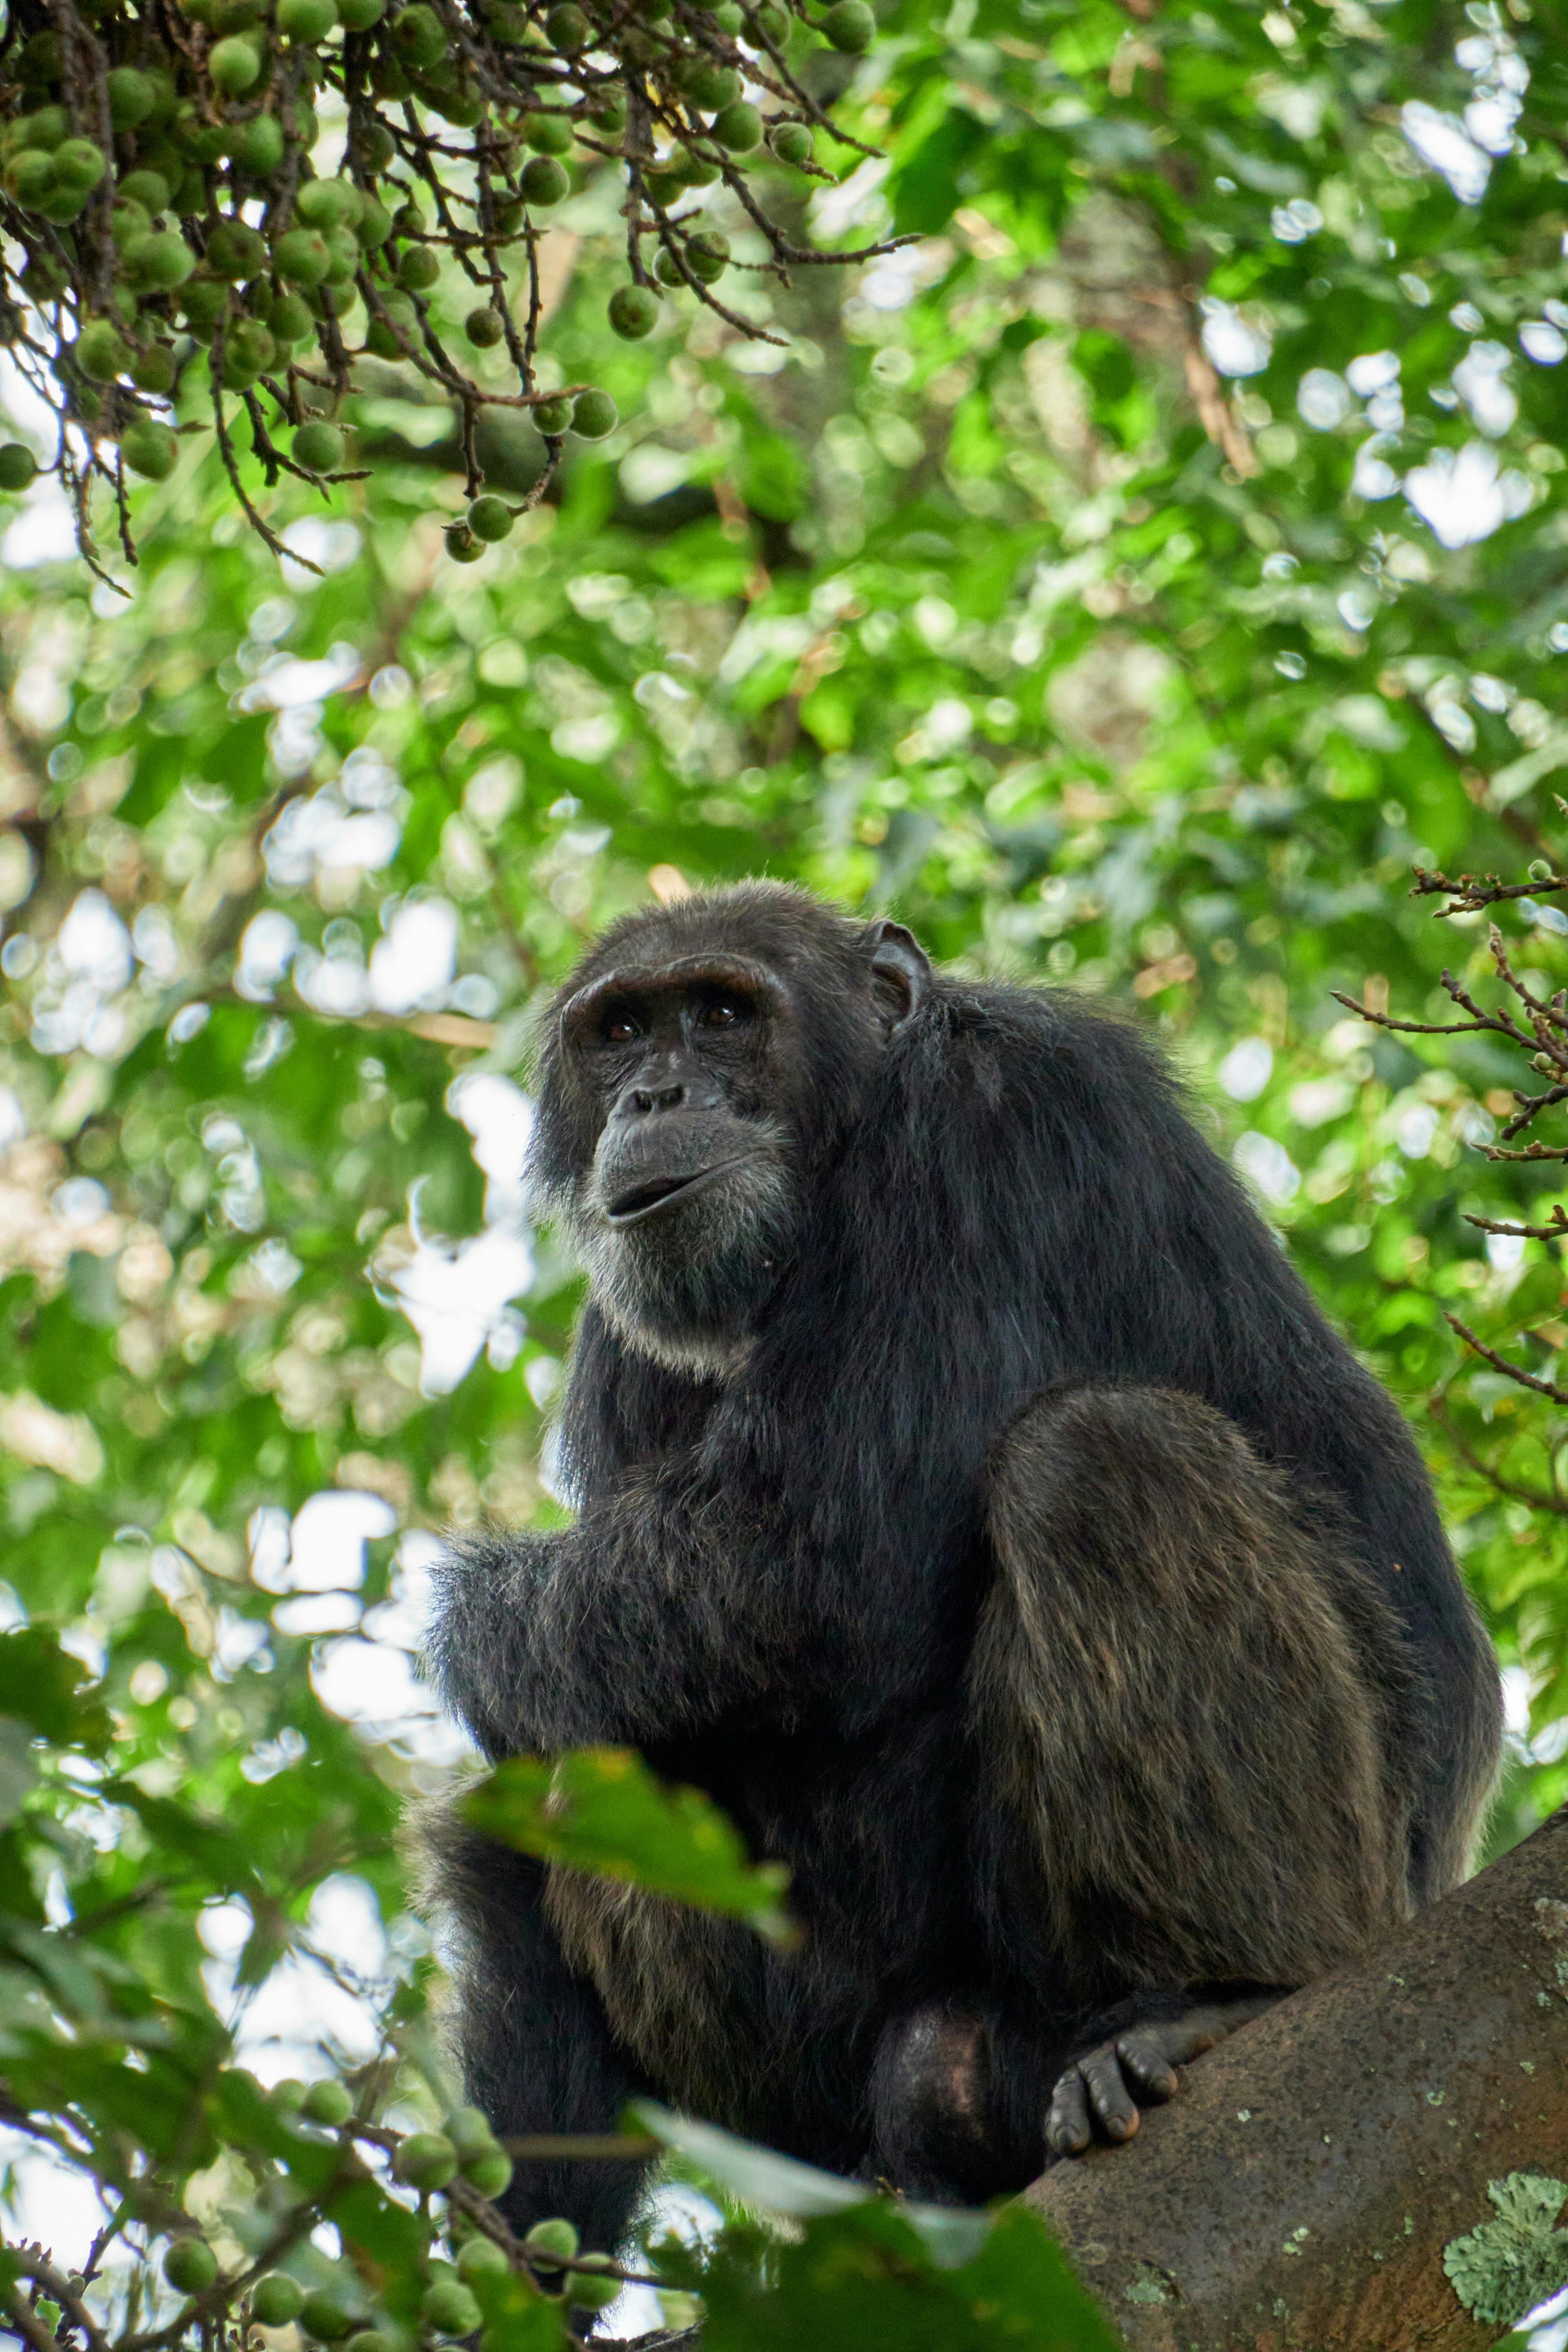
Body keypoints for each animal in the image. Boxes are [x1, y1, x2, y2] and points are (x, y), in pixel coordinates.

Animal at [421, 881, 1501, 2242]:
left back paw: (1215, 1998)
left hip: (1342, 1910)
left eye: (720, 1013)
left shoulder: (986, 1127)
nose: (654, 1096)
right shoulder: (623, 1344)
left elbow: (810, 1567)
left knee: (1098, 1457)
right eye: (619, 1031)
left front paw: (465, 1630)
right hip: (832, 2105)